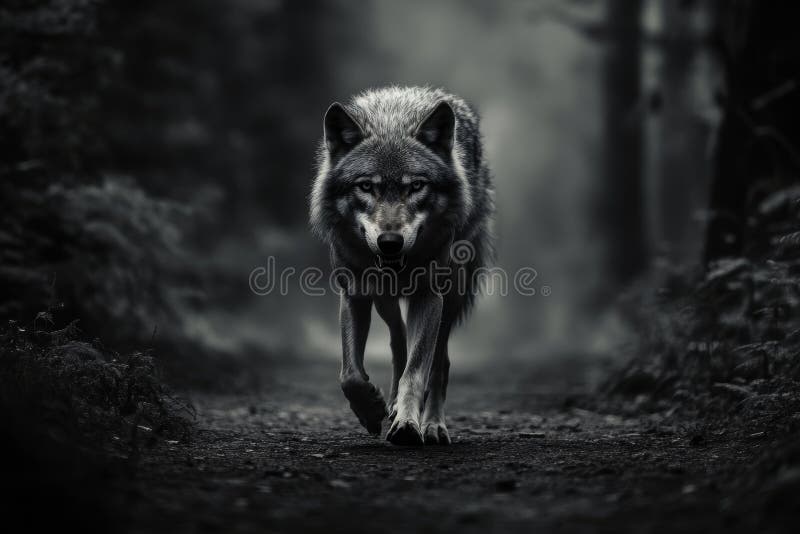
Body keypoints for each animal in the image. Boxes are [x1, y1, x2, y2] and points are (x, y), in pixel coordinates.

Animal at [309, 86, 494, 445]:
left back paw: (433, 425)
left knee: (439, 363)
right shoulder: (354, 294)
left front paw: (409, 424)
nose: (390, 241)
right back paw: (393, 401)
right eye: (366, 186)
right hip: (384, 300)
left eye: (416, 186)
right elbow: (350, 374)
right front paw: (372, 409)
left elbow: (417, 371)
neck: (391, 120)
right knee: (398, 341)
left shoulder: (429, 296)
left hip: (450, 298)